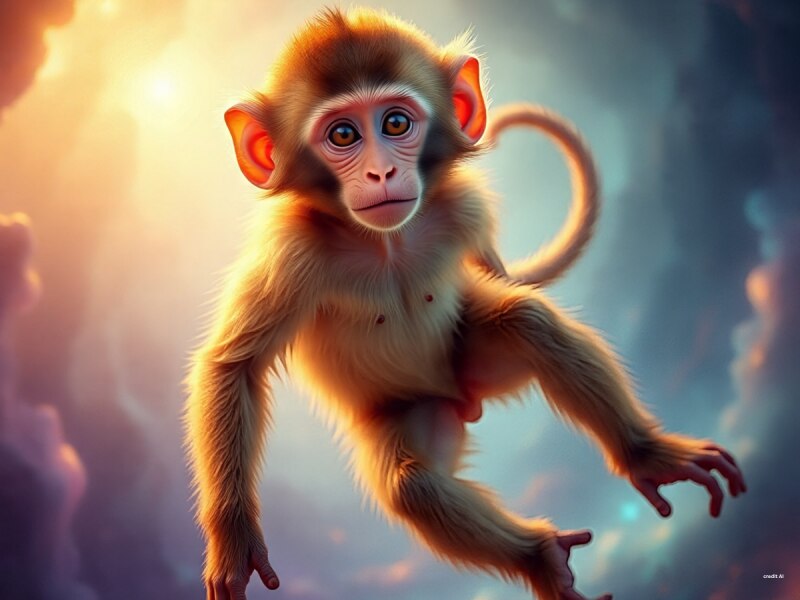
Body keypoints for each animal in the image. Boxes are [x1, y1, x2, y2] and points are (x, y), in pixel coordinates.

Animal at [185, 8, 746, 600]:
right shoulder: (292, 252)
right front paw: (236, 542)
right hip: (420, 409)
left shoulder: (464, 208)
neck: (387, 242)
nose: (381, 173)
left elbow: (496, 282)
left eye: (396, 124)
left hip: (474, 367)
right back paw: (540, 558)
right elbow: (235, 367)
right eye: (342, 134)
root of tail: (464, 400)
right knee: (412, 485)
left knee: (527, 320)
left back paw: (645, 457)